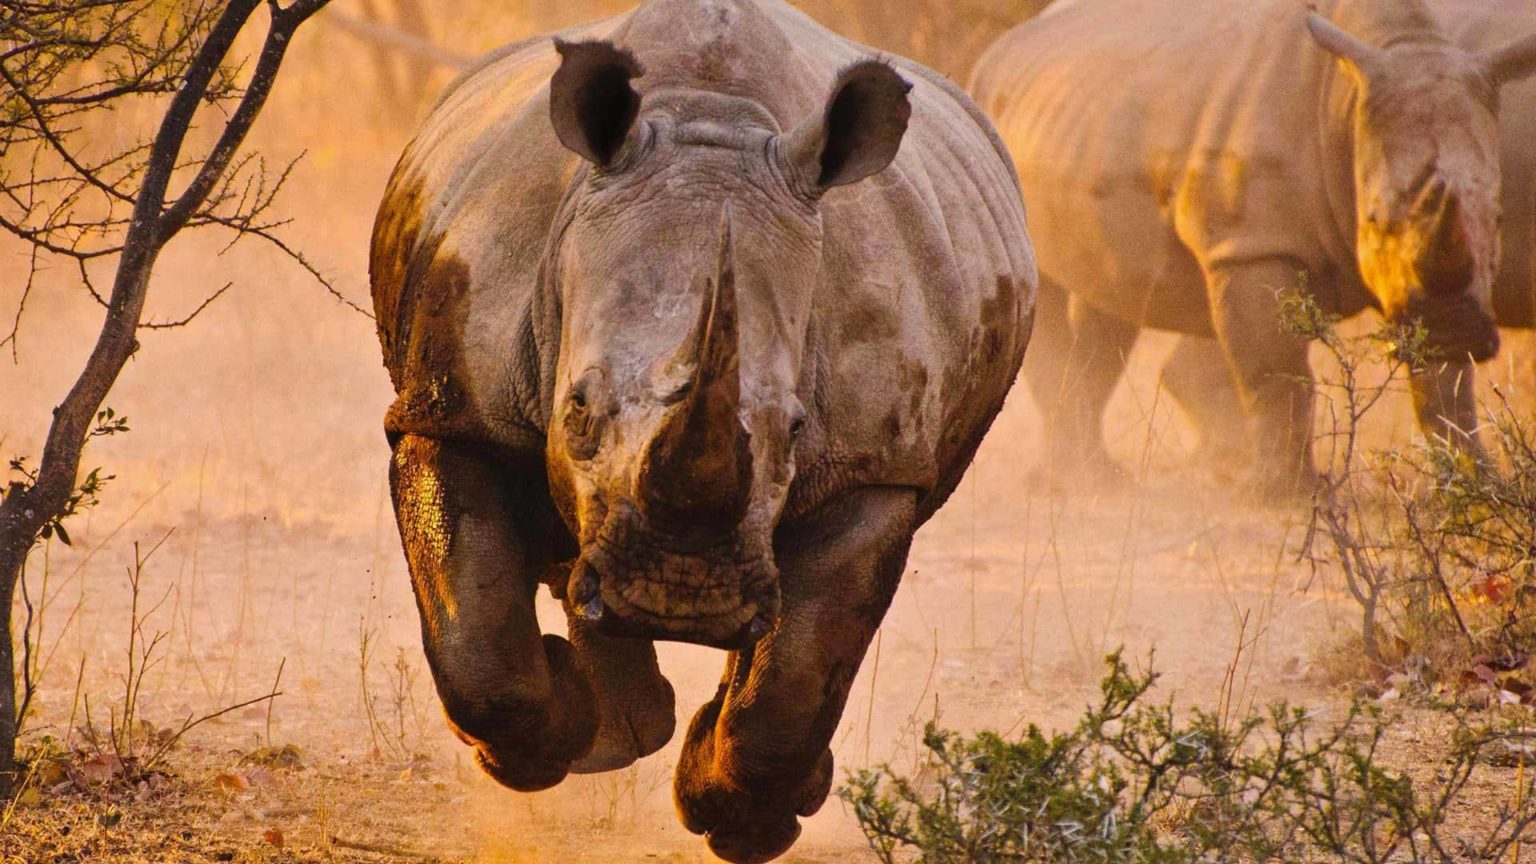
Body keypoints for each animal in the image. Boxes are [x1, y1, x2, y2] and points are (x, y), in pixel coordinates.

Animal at [369, 1, 1036, 860]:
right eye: (576, 407)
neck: (709, 120)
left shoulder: (874, 466)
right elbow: (478, 643)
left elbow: (798, 675)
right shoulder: (451, 407)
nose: (680, 592)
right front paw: (543, 744)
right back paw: (616, 732)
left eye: (795, 428)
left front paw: (741, 818)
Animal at [969, 0, 1536, 494]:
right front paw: (1286, 496)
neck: (1346, 102)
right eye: (1374, 219)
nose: (1458, 327)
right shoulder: (1253, 246)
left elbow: (1446, 386)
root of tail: (995, 52)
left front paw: (1479, 487)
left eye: (1498, 219)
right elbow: (1277, 374)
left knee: (1108, 301)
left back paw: (1096, 480)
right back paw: (1082, 486)